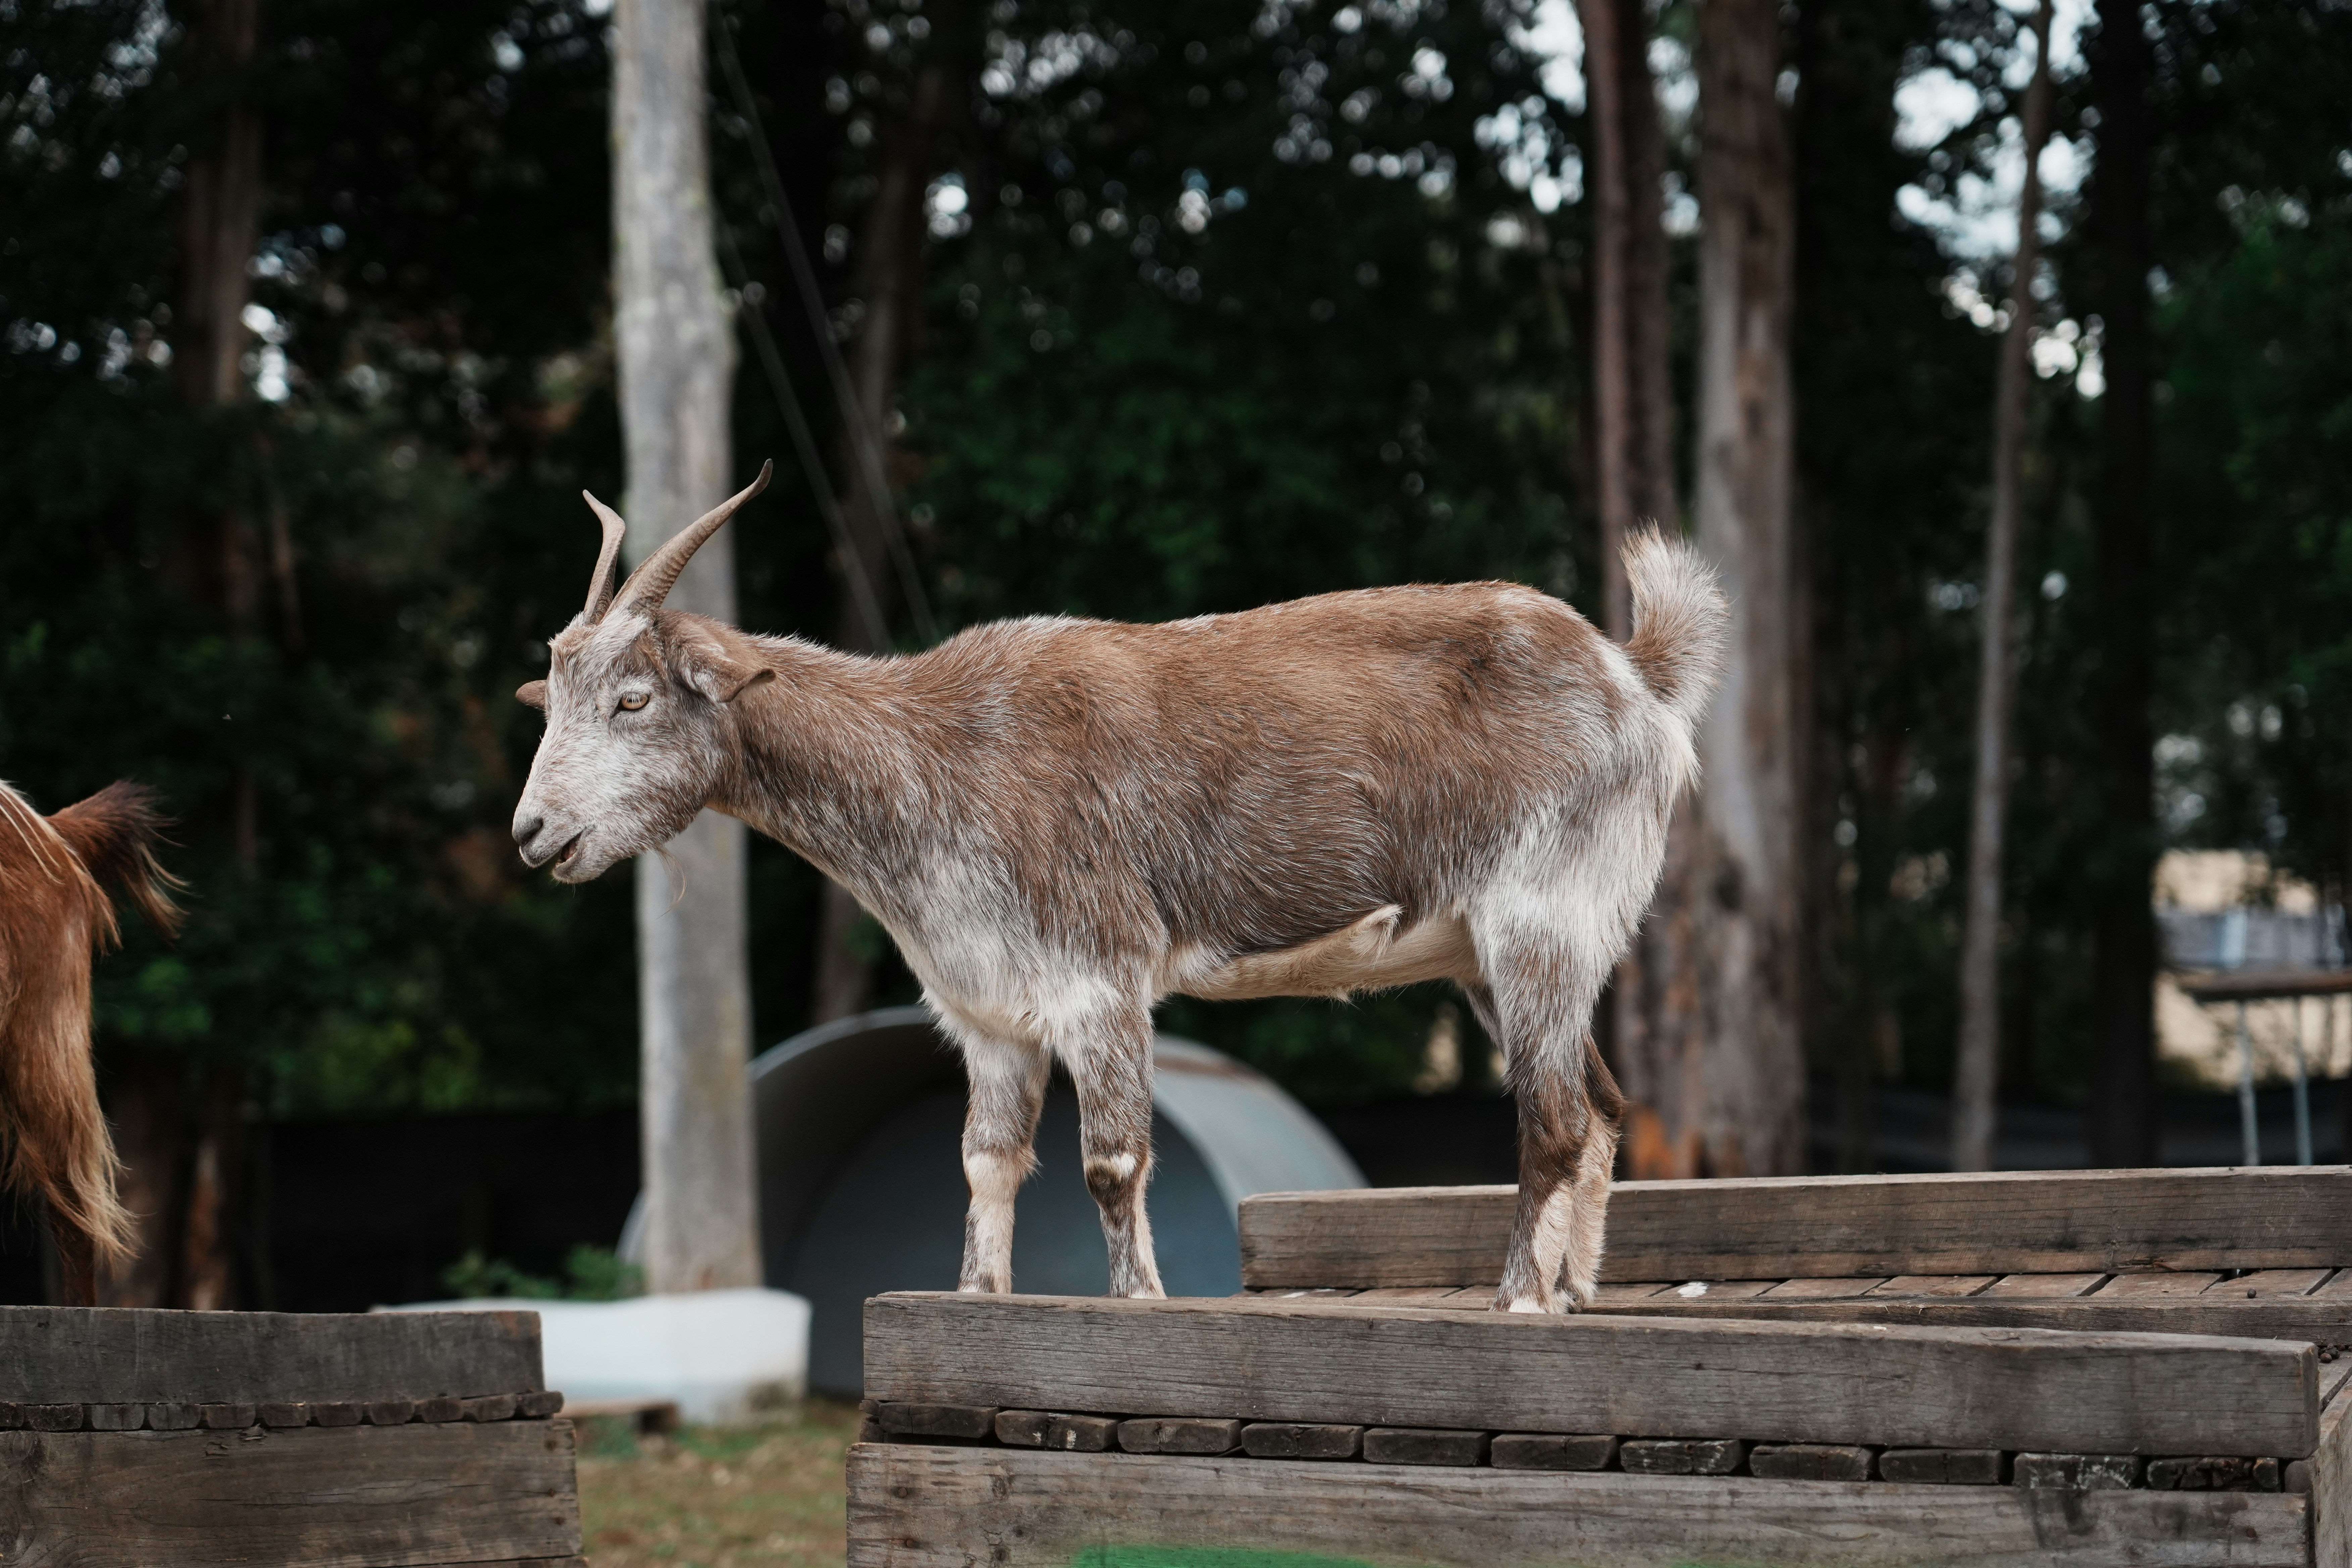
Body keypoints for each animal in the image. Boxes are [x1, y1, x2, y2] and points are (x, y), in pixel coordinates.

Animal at [513, 465, 1727, 1311]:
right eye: (552, 699)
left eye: (632, 699)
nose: (533, 833)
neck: (932, 751)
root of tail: (1633, 679)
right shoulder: (988, 1014)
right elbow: (986, 1160)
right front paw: (975, 1297)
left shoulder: (1098, 980)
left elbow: (1111, 1164)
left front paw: (1136, 1303)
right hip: (1492, 954)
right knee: (1604, 1109)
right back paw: (1574, 1295)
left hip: (1538, 920)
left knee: (1555, 1120)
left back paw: (1518, 1302)